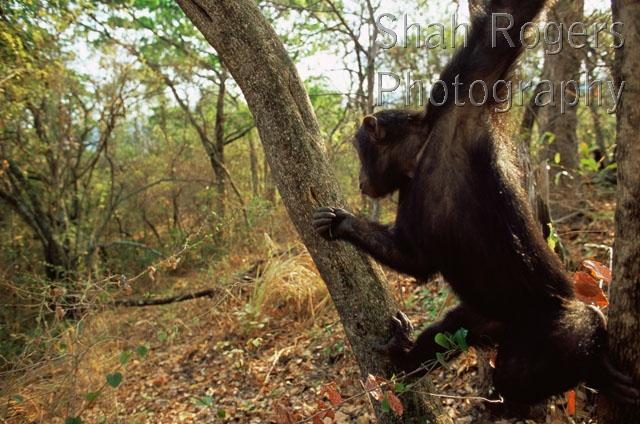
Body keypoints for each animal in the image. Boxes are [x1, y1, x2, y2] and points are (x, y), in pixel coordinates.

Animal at [312, 0, 639, 406]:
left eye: (359, 150)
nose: (359, 178)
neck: (419, 153)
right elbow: (413, 256)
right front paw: (340, 223)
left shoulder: (467, 91)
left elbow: (504, 23)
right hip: (485, 319)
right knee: (451, 329)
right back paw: (405, 353)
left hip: (558, 330)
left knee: (524, 369)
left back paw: (597, 363)